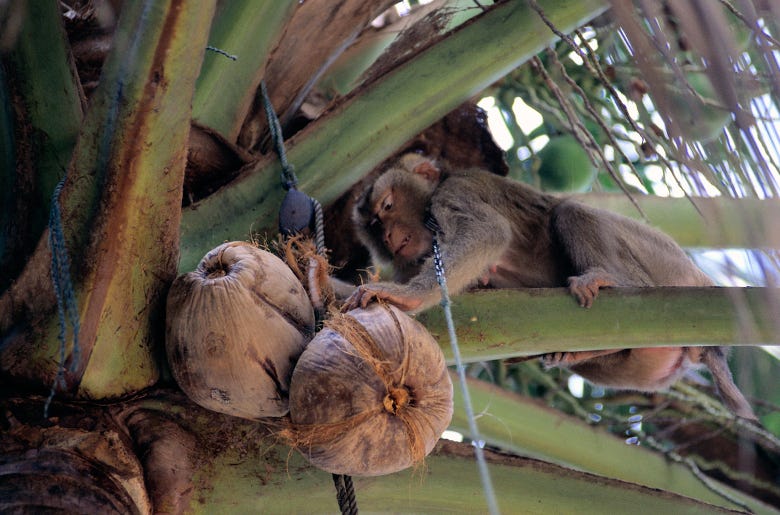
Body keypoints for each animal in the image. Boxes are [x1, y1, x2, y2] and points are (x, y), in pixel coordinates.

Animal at [344, 153, 758, 421]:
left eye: (388, 206)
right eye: (375, 227)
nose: (390, 236)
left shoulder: (455, 193)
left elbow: (488, 234)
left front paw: (406, 297)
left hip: (665, 264)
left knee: (571, 212)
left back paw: (613, 280)